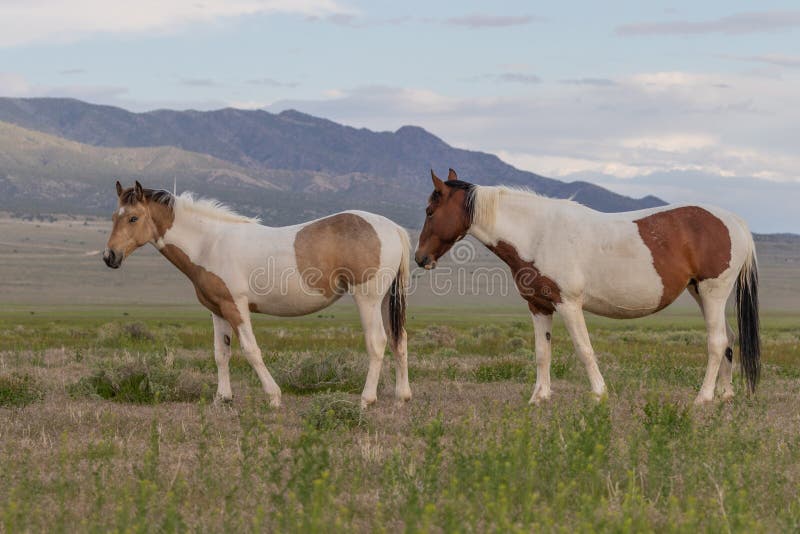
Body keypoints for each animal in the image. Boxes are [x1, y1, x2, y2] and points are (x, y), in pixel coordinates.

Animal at [103, 181, 412, 408]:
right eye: (114, 217)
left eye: (133, 217)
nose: (110, 257)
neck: (209, 243)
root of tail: (393, 228)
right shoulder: (217, 309)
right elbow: (221, 353)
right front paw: (222, 398)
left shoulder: (235, 306)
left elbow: (251, 350)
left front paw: (273, 396)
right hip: (385, 301)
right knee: (398, 340)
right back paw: (402, 397)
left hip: (367, 299)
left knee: (377, 342)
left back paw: (366, 400)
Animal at [415, 169, 760, 405]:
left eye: (430, 211)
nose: (420, 258)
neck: (538, 233)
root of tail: (735, 221)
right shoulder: (539, 306)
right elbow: (542, 352)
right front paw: (539, 397)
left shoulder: (568, 304)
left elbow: (584, 349)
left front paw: (598, 393)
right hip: (700, 293)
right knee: (729, 338)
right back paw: (725, 394)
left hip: (713, 292)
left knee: (716, 341)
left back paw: (703, 397)